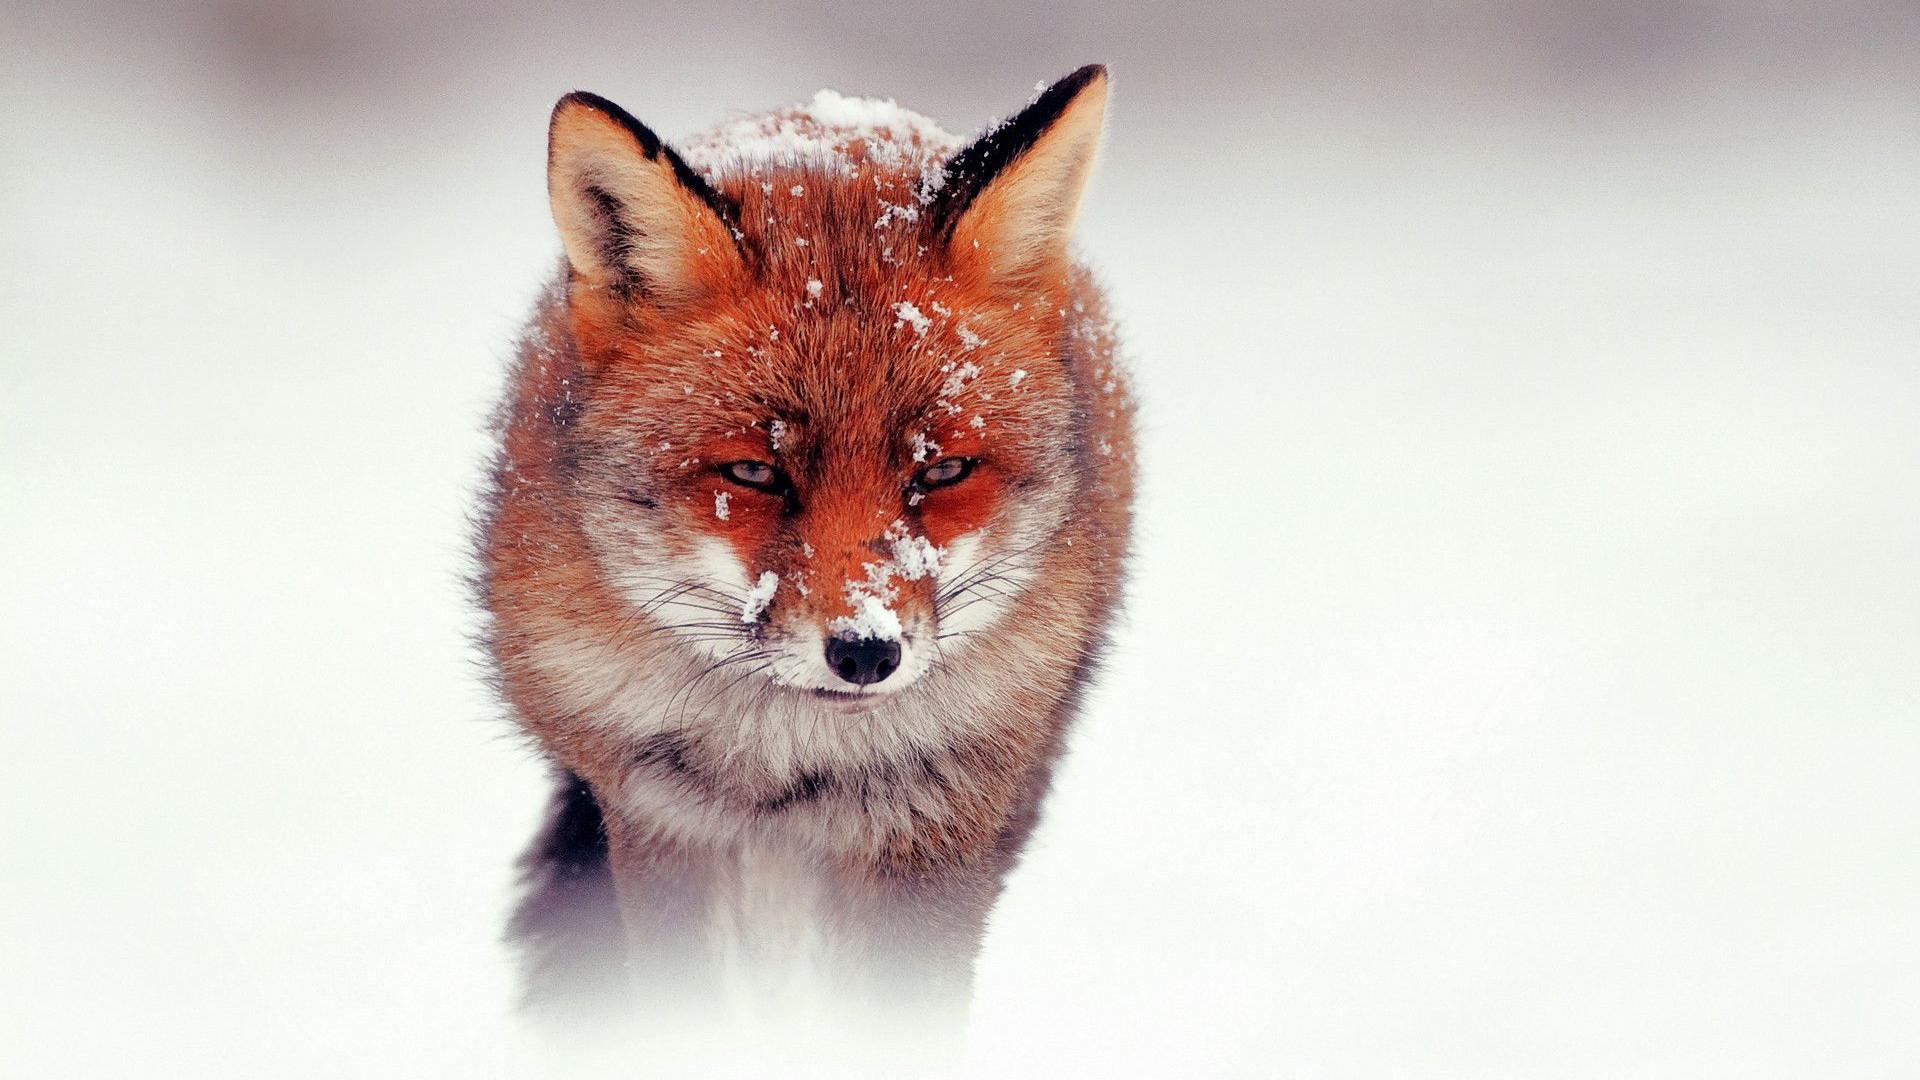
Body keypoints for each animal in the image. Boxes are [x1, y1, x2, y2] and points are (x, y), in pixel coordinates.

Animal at [476, 64, 1135, 1032]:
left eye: (942, 471)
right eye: (754, 471)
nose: (865, 653)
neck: (787, 761)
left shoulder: (935, 828)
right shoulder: (660, 816)